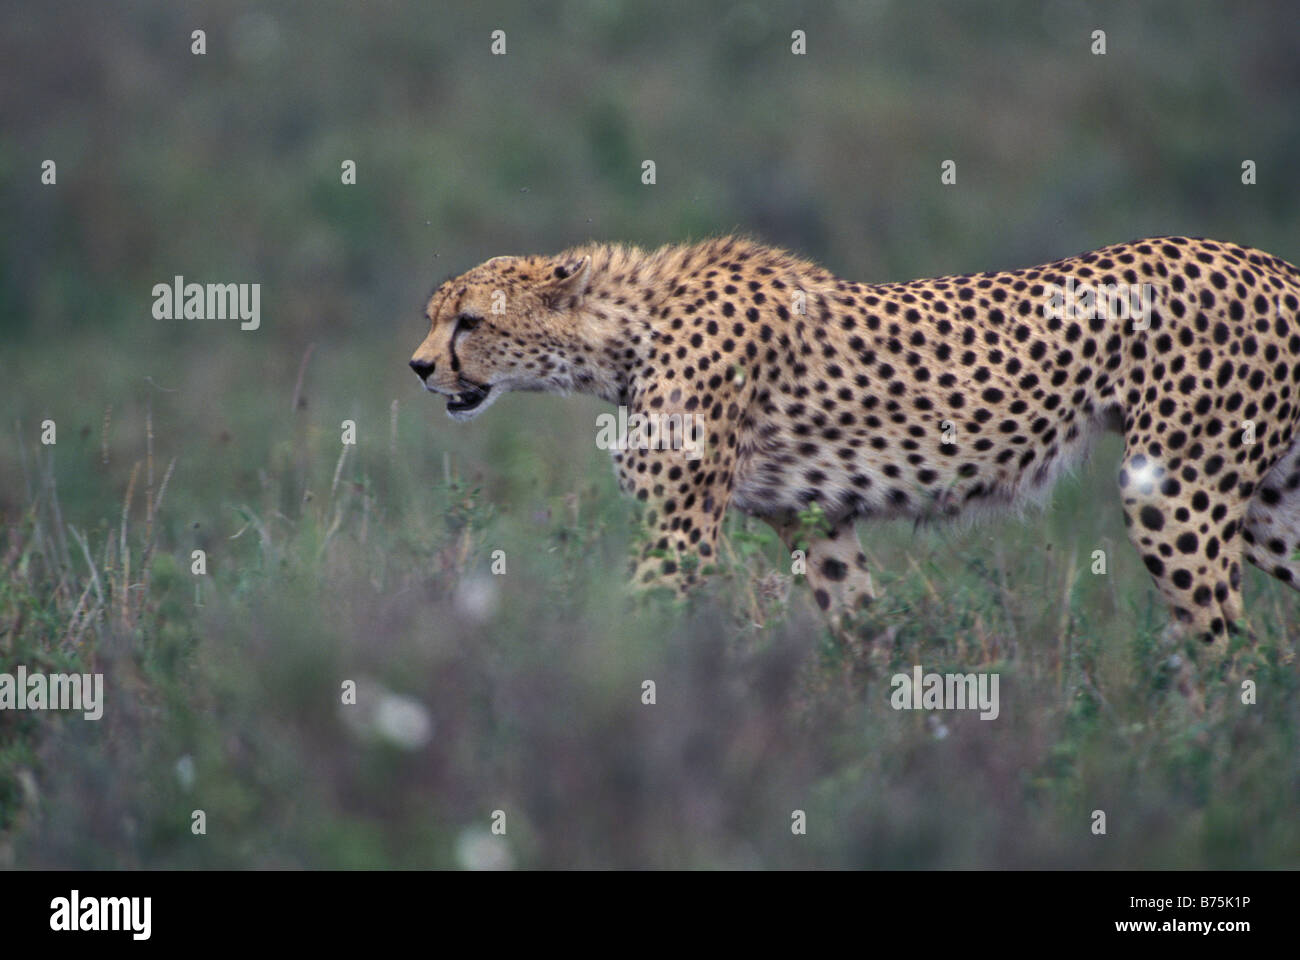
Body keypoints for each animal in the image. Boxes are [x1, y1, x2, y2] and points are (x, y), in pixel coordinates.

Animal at [409, 236, 1300, 642]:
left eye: (471, 321)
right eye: (434, 315)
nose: (418, 367)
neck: (623, 336)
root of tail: (1266, 261)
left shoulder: (679, 533)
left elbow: (638, 625)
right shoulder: (816, 522)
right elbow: (863, 634)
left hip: (1173, 494)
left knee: (1226, 647)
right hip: (1263, 504)